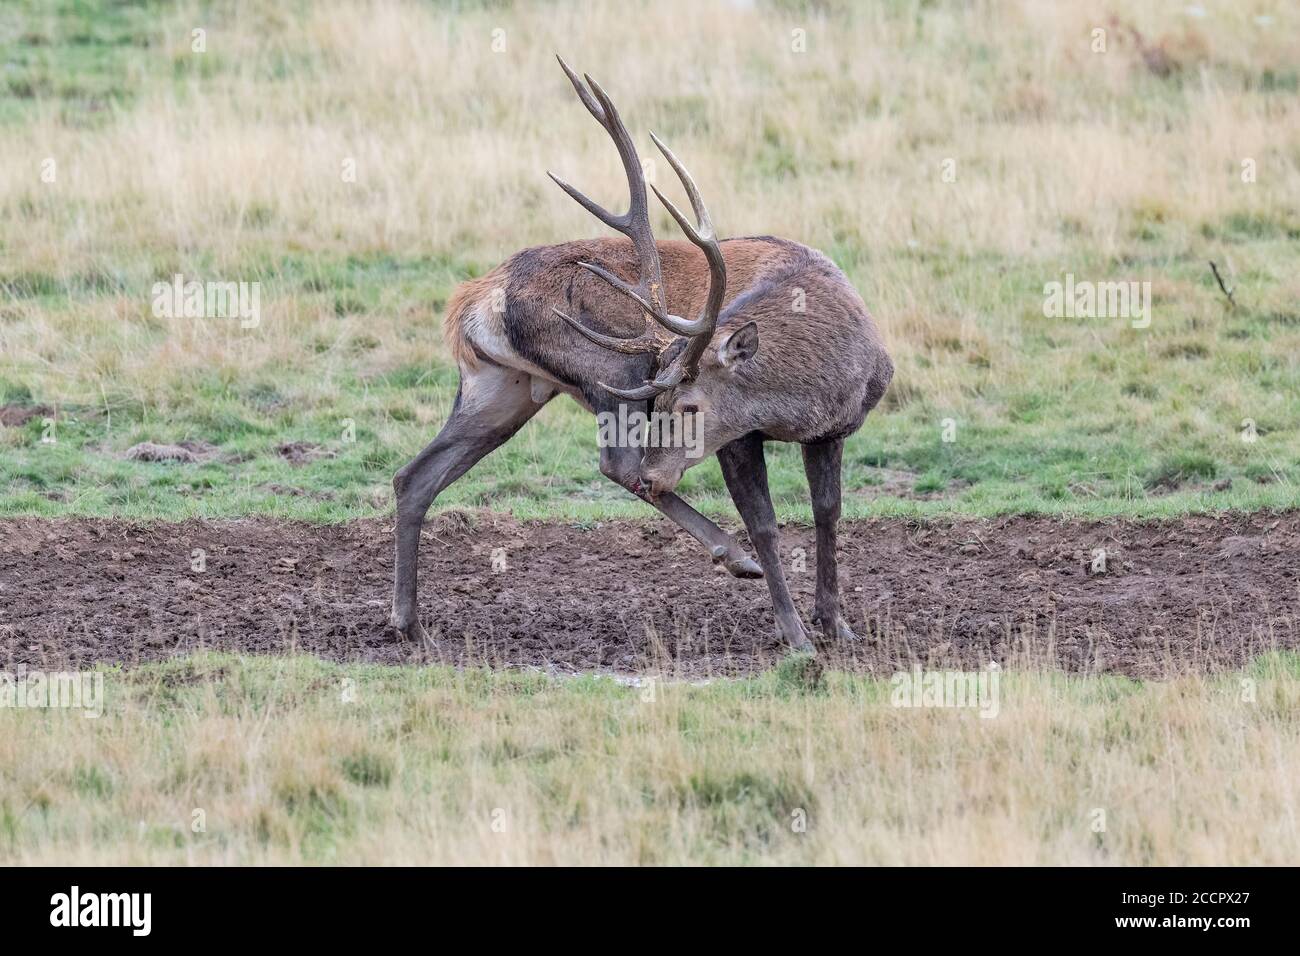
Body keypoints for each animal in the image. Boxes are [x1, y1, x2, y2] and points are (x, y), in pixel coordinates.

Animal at [391, 57, 892, 653]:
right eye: (667, 403)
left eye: (690, 406)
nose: (658, 477)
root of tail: (473, 300)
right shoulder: (738, 434)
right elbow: (766, 523)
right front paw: (796, 634)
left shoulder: (833, 431)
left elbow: (828, 513)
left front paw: (836, 623)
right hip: (607, 369)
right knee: (615, 463)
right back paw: (733, 555)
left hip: (501, 389)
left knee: (415, 475)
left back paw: (409, 622)